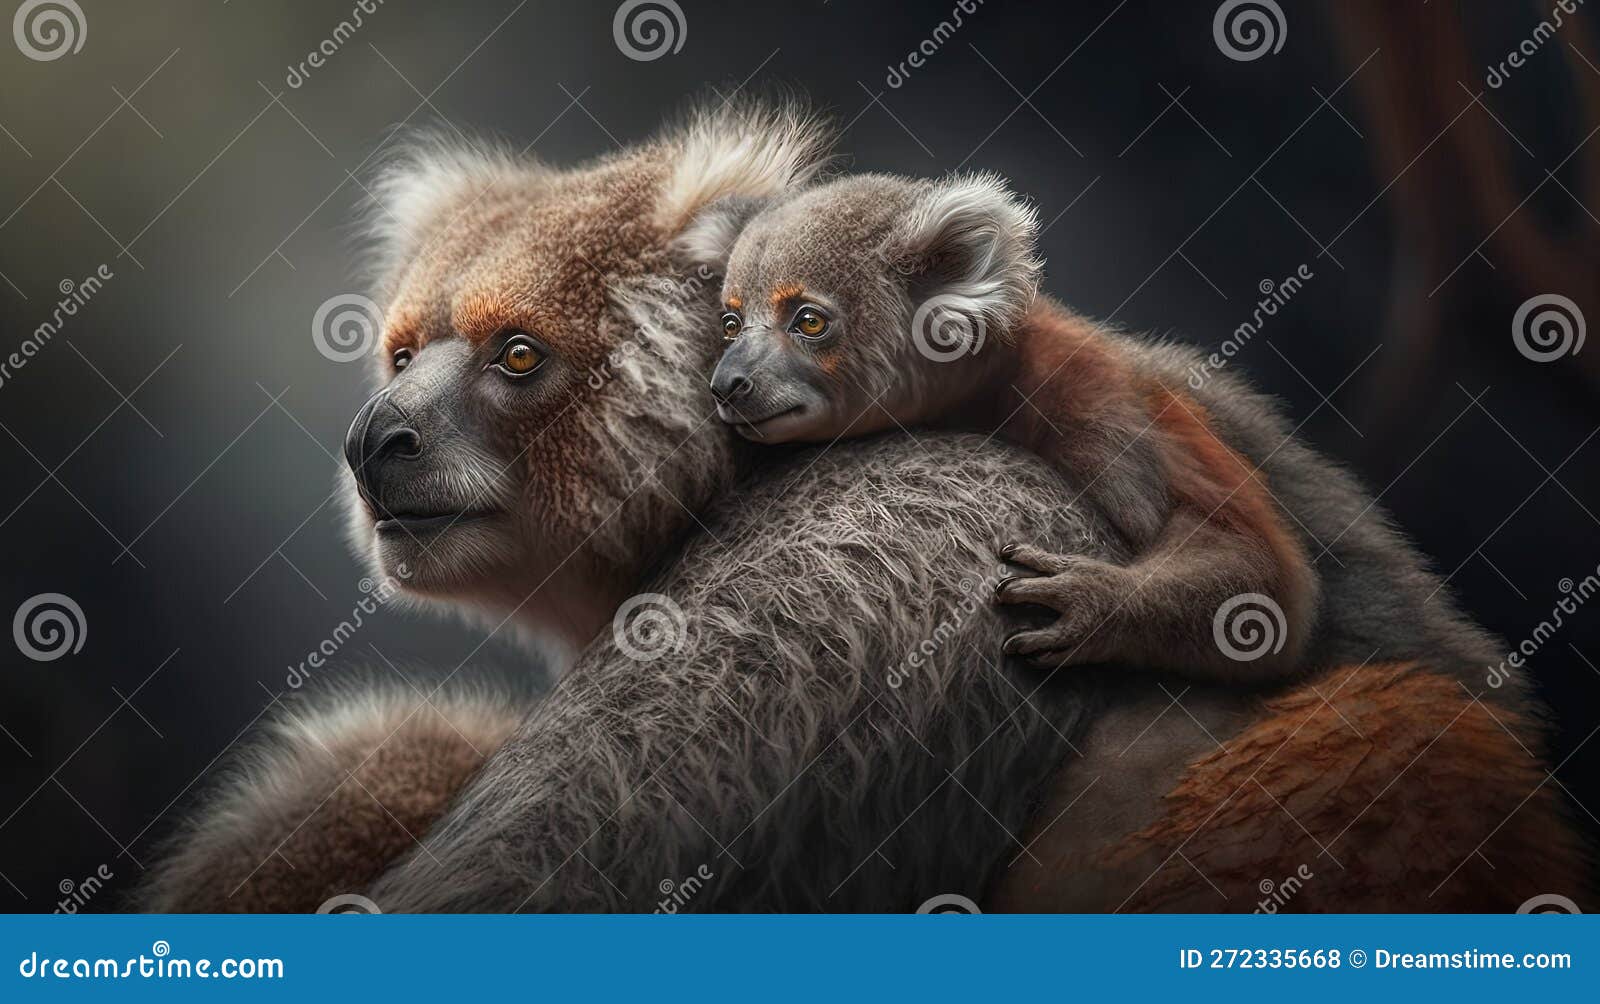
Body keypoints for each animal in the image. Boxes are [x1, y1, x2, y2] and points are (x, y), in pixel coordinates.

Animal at [693, 172, 1318, 686]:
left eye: (809, 321)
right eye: (731, 322)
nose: (728, 384)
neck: (985, 393)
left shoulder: (1098, 402)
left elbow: (1256, 574)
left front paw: (1097, 602)